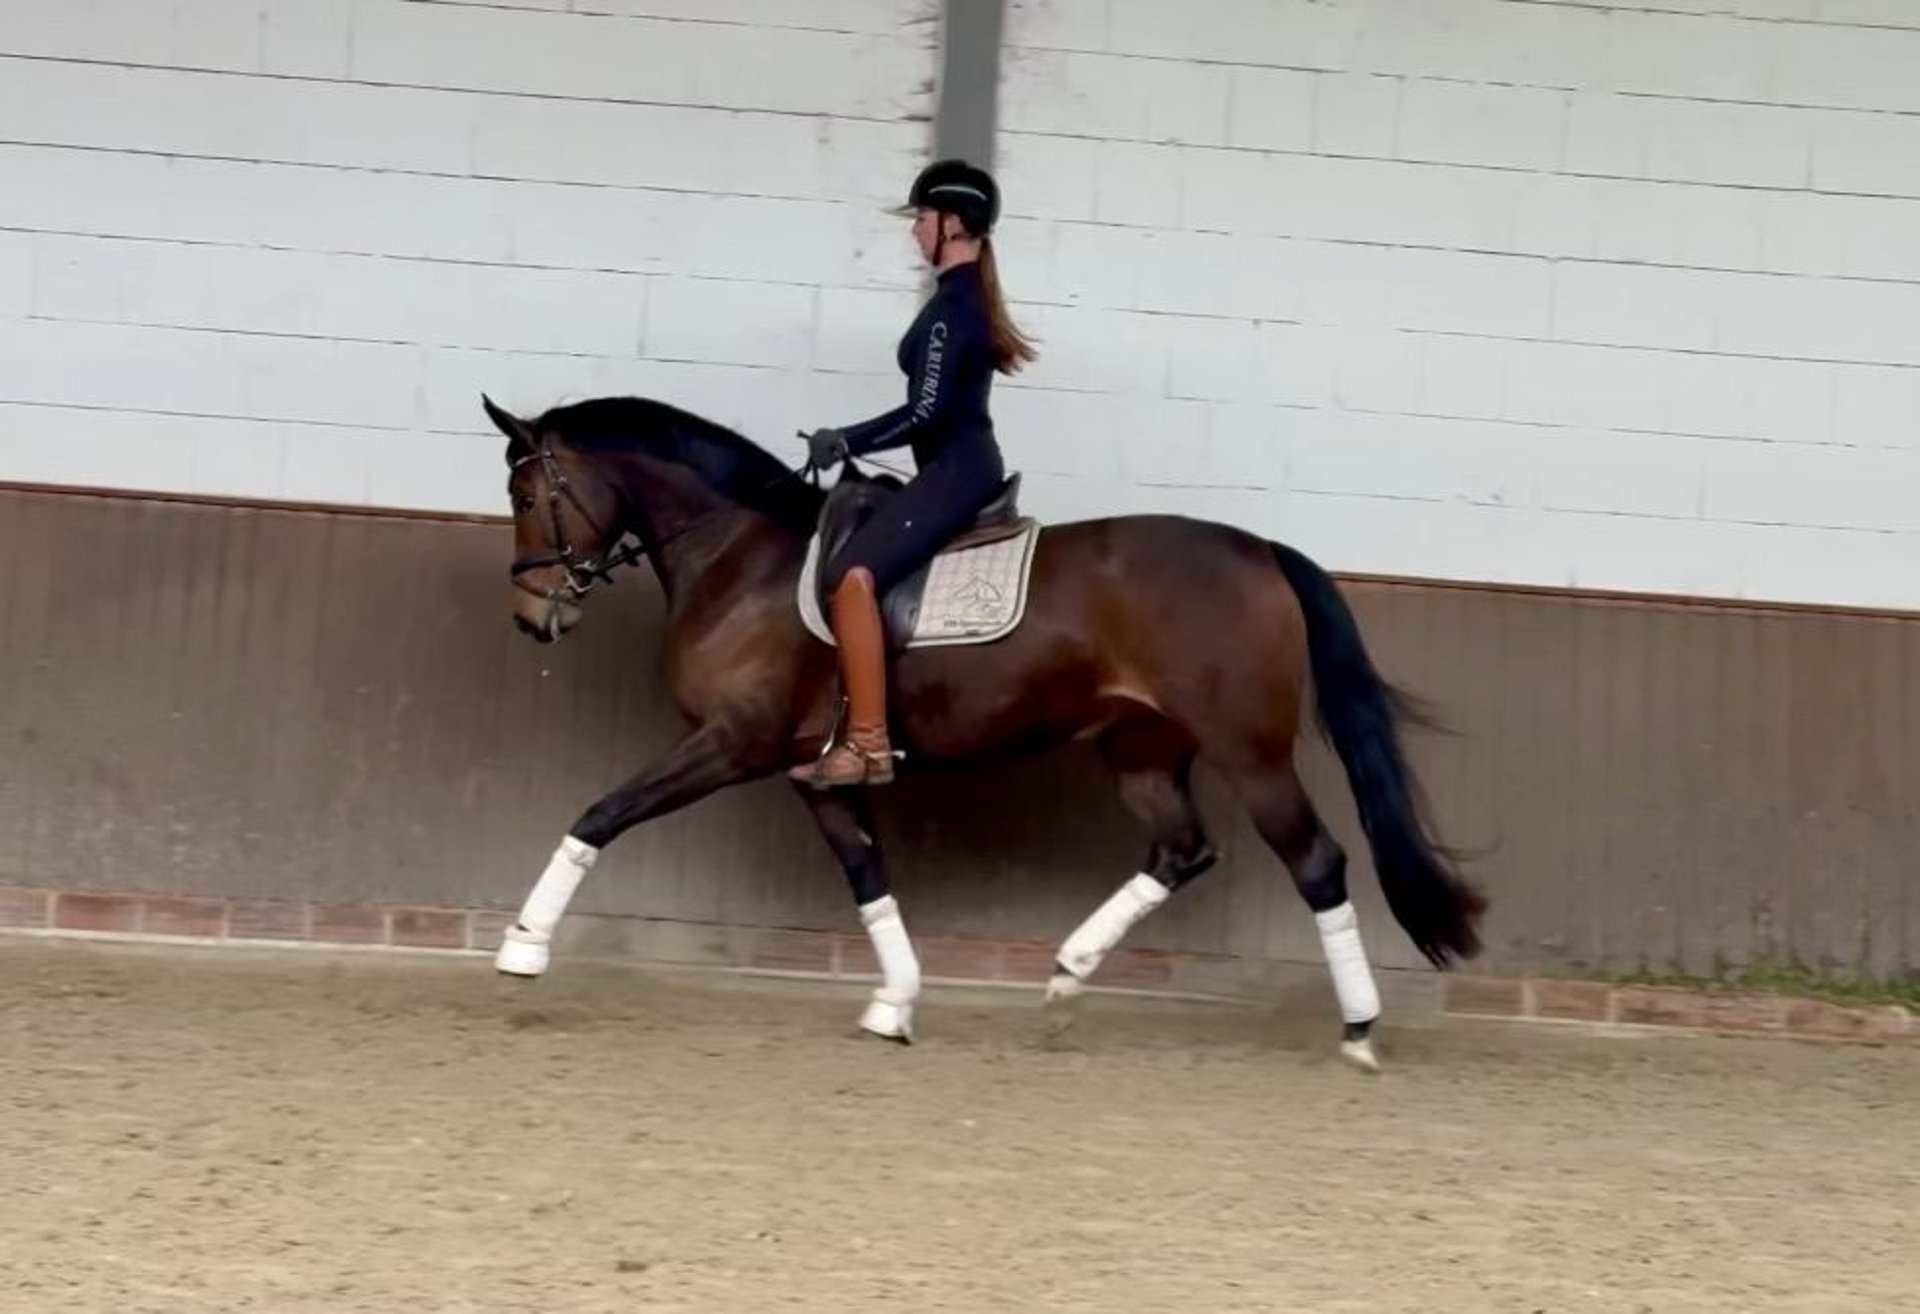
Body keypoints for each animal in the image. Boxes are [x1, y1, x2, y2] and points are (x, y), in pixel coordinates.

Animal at [481, 392, 1486, 1071]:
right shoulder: (816, 772)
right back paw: (1066, 978)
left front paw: (522, 948)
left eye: (528, 497)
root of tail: (1262, 552)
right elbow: (868, 876)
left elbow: (600, 814)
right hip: (1143, 750)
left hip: (1252, 753)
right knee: (1180, 849)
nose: (532, 615)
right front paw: (896, 1003)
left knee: (1316, 862)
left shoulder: (734, 745)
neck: (742, 557)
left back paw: (1358, 1030)